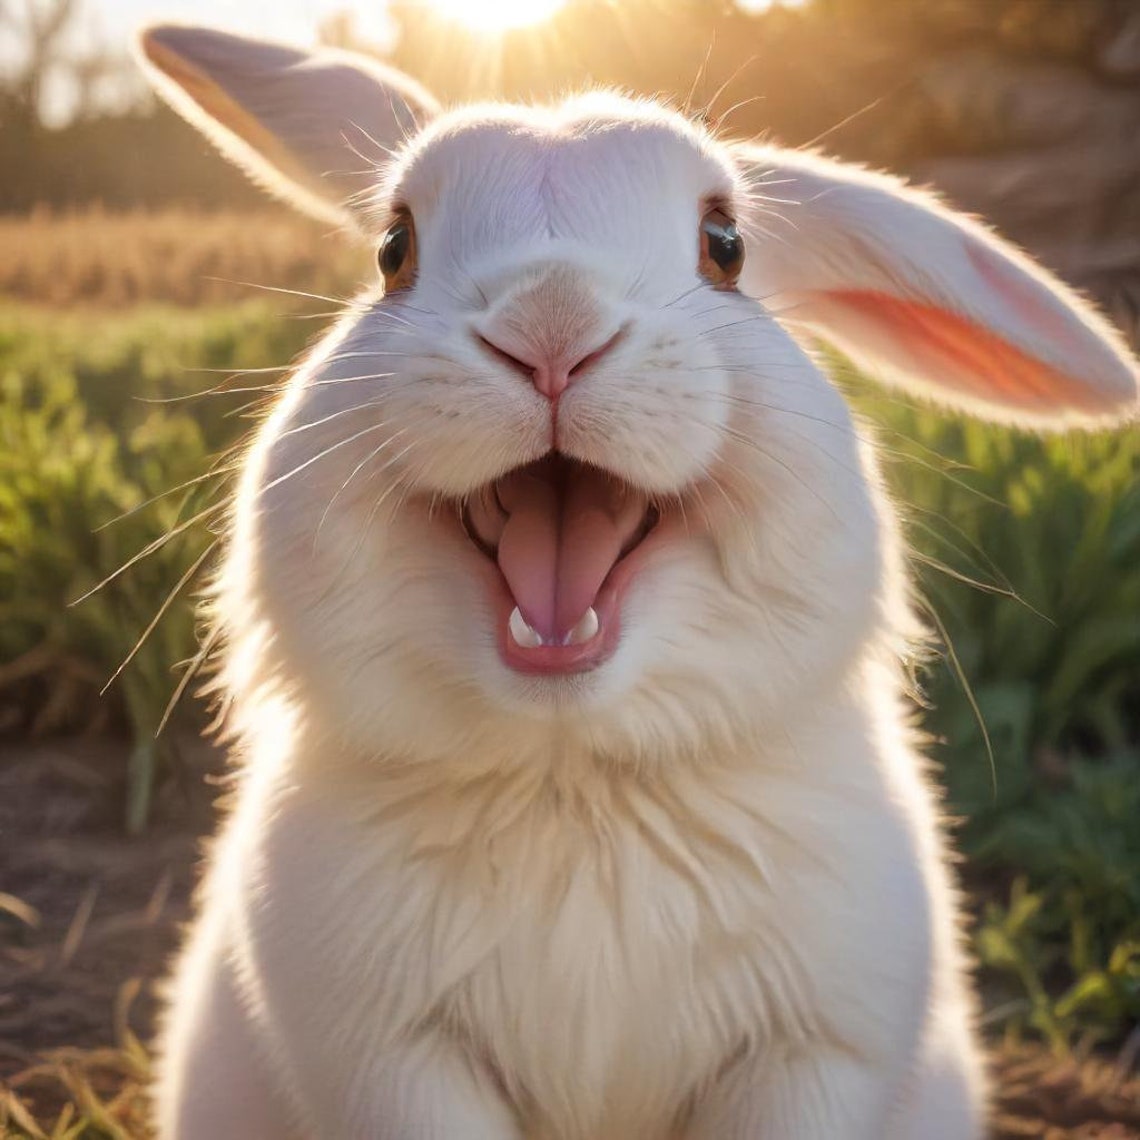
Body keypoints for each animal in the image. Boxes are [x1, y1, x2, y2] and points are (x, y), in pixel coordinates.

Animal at [135, 23, 1138, 1140]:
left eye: (725, 245)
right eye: (394, 250)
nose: (551, 324)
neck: (577, 784)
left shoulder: (808, 1058)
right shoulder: (394, 1065)